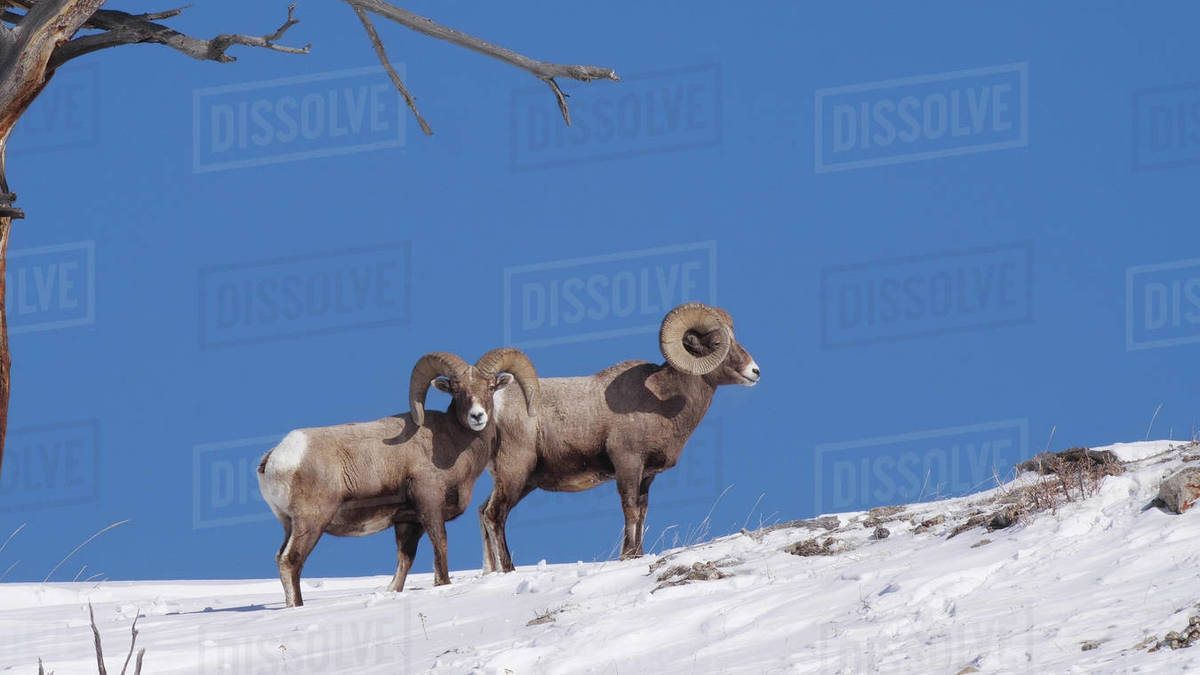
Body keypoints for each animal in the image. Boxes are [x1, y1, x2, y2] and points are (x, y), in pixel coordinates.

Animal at [257, 348, 538, 607]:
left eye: (490, 387)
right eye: (456, 390)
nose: (477, 416)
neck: (450, 441)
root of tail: (275, 458)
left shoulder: (407, 521)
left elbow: (405, 561)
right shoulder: (429, 506)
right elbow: (441, 546)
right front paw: (443, 584)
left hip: (290, 525)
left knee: (281, 558)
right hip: (311, 522)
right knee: (291, 561)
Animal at [479, 303, 759, 573]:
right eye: (716, 343)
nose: (755, 371)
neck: (660, 400)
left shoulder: (646, 476)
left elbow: (642, 512)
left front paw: (637, 554)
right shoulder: (628, 464)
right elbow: (630, 510)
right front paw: (627, 556)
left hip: (517, 480)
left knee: (483, 512)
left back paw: (490, 571)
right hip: (515, 473)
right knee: (494, 514)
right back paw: (508, 569)